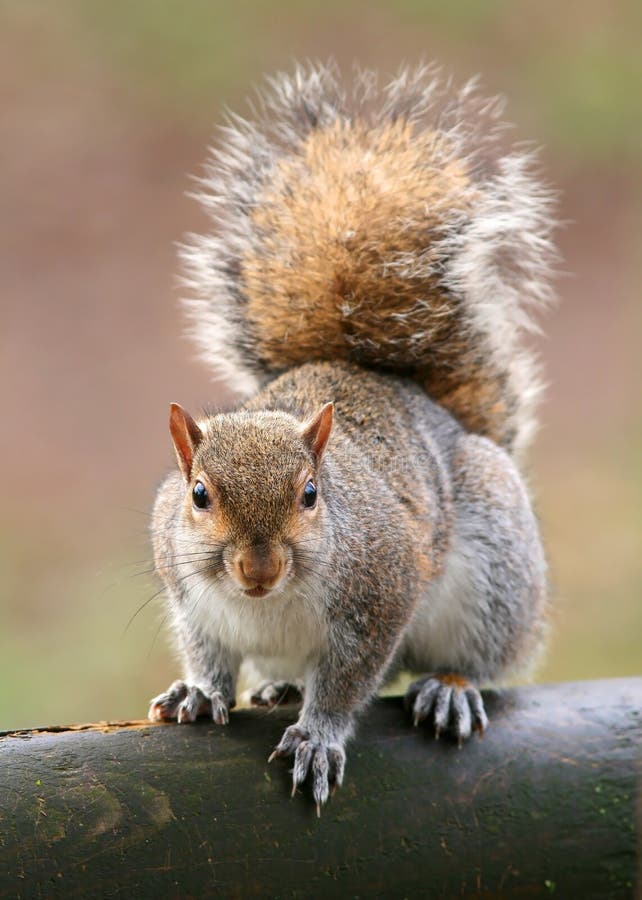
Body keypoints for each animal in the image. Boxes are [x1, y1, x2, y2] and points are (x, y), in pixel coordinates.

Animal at [148, 62, 556, 812]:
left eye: (311, 494)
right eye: (197, 495)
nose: (257, 570)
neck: (266, 605)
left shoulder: (383, 592)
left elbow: (349, 681)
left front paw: (319, 736)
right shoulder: (187, 593)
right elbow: (207, 651)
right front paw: (201, 690)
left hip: (497, 572)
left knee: (476, 657)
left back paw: (450, 689)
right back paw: (280, 685)